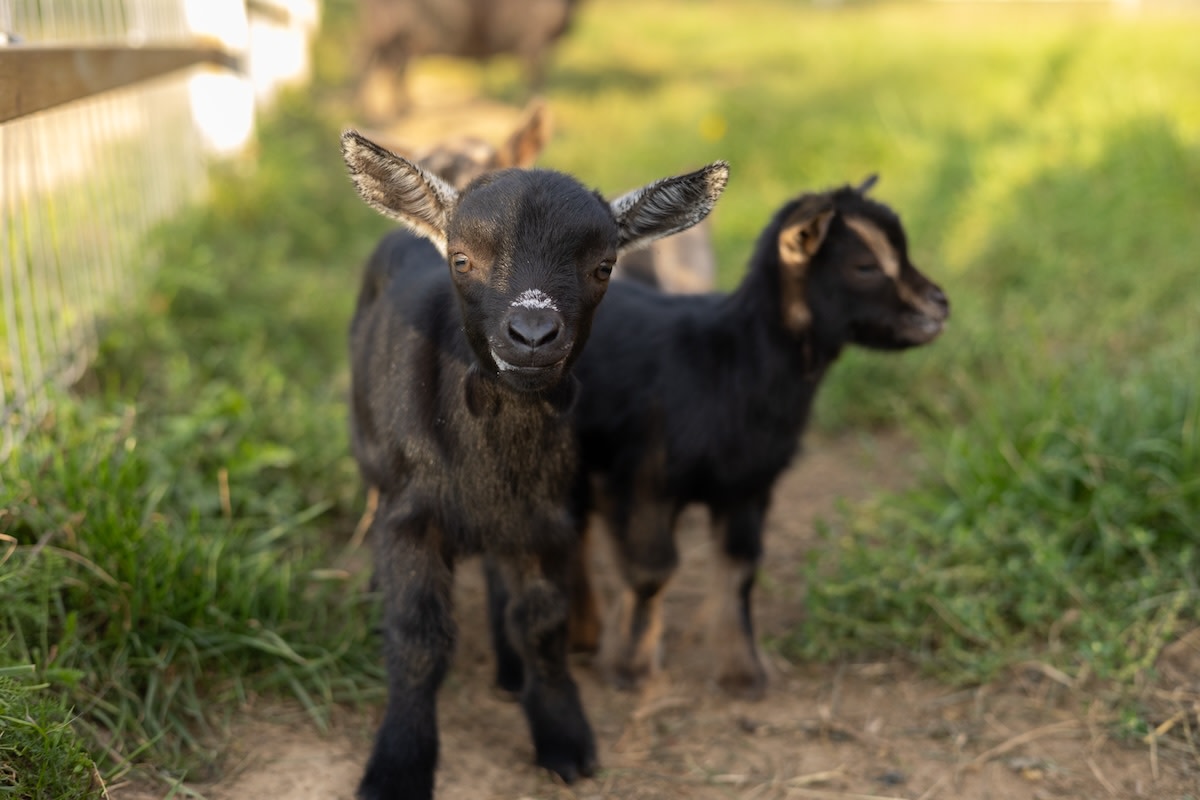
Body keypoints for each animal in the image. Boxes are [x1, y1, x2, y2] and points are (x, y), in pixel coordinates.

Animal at [340, 128, 728, 799]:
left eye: (603, 267)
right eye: (462, 259)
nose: (531, 333)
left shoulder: (548, 517)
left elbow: (545, 624)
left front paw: (564, 740)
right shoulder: (410, 515)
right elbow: (419, 637)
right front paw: (397, 767)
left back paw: (508, 671)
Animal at [556, 177, 949, 699]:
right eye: (864, 266)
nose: (939, 304)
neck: (729, 362)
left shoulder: (748, 486)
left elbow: (739, 572)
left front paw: (743, 673)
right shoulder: (644, 477)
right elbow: (651, 571)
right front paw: (631, 668)